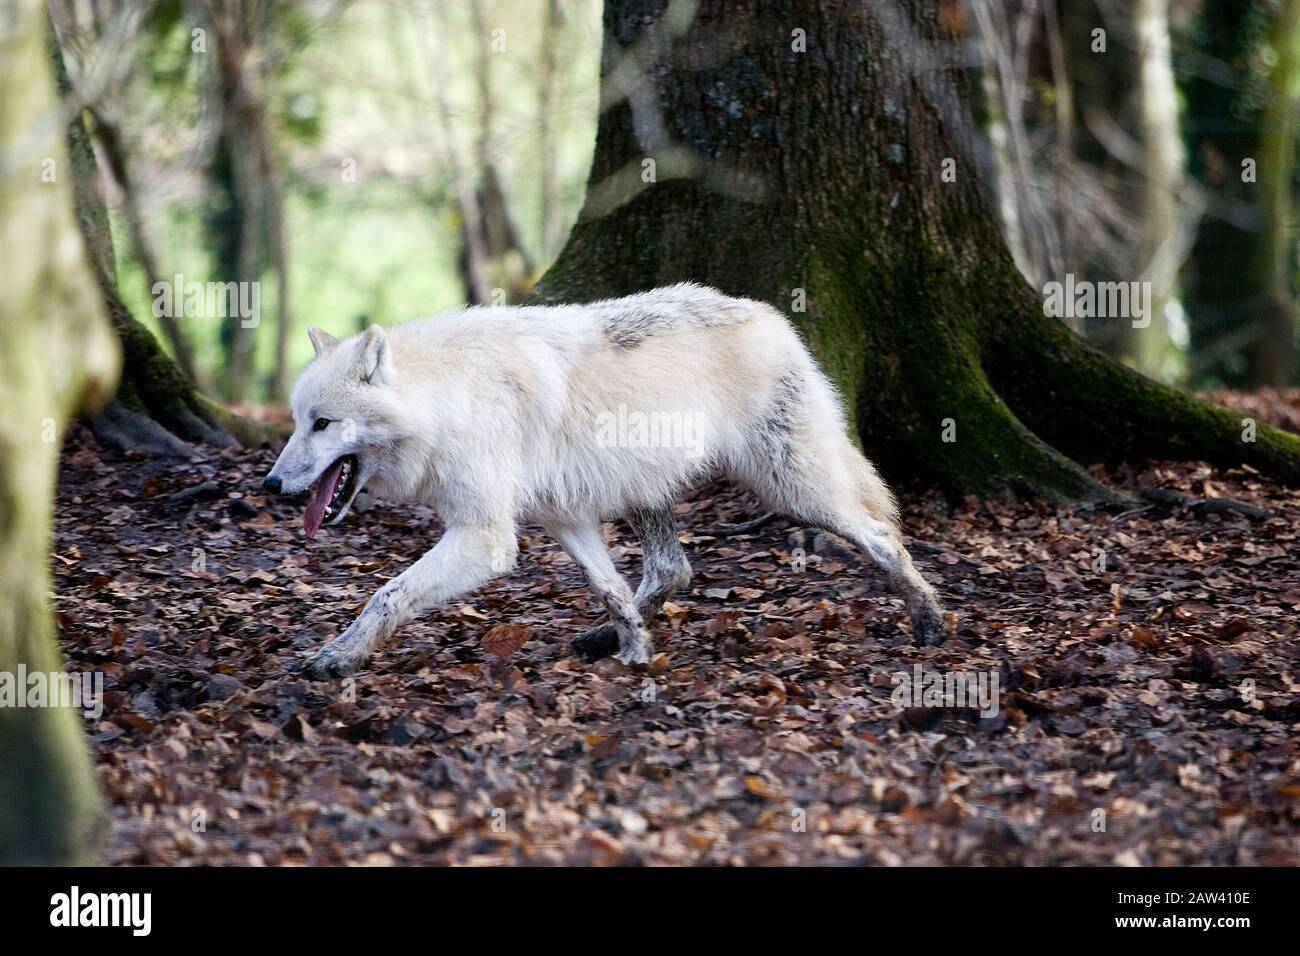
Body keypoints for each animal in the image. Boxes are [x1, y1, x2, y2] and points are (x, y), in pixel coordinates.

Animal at [262, 283, 947, 678]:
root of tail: (771, 315)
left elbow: (386, 595)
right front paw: (635, 651)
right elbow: (610, 587)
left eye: (323, 424)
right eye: (296, 422)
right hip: (648, 491)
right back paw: (598, 641)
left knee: (883, 535)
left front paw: (338, 658)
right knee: (673, 571)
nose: (269, 486)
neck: (449, 398)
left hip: (790, 486)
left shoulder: (486, 538)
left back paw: (932, 622)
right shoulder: (562, 516)